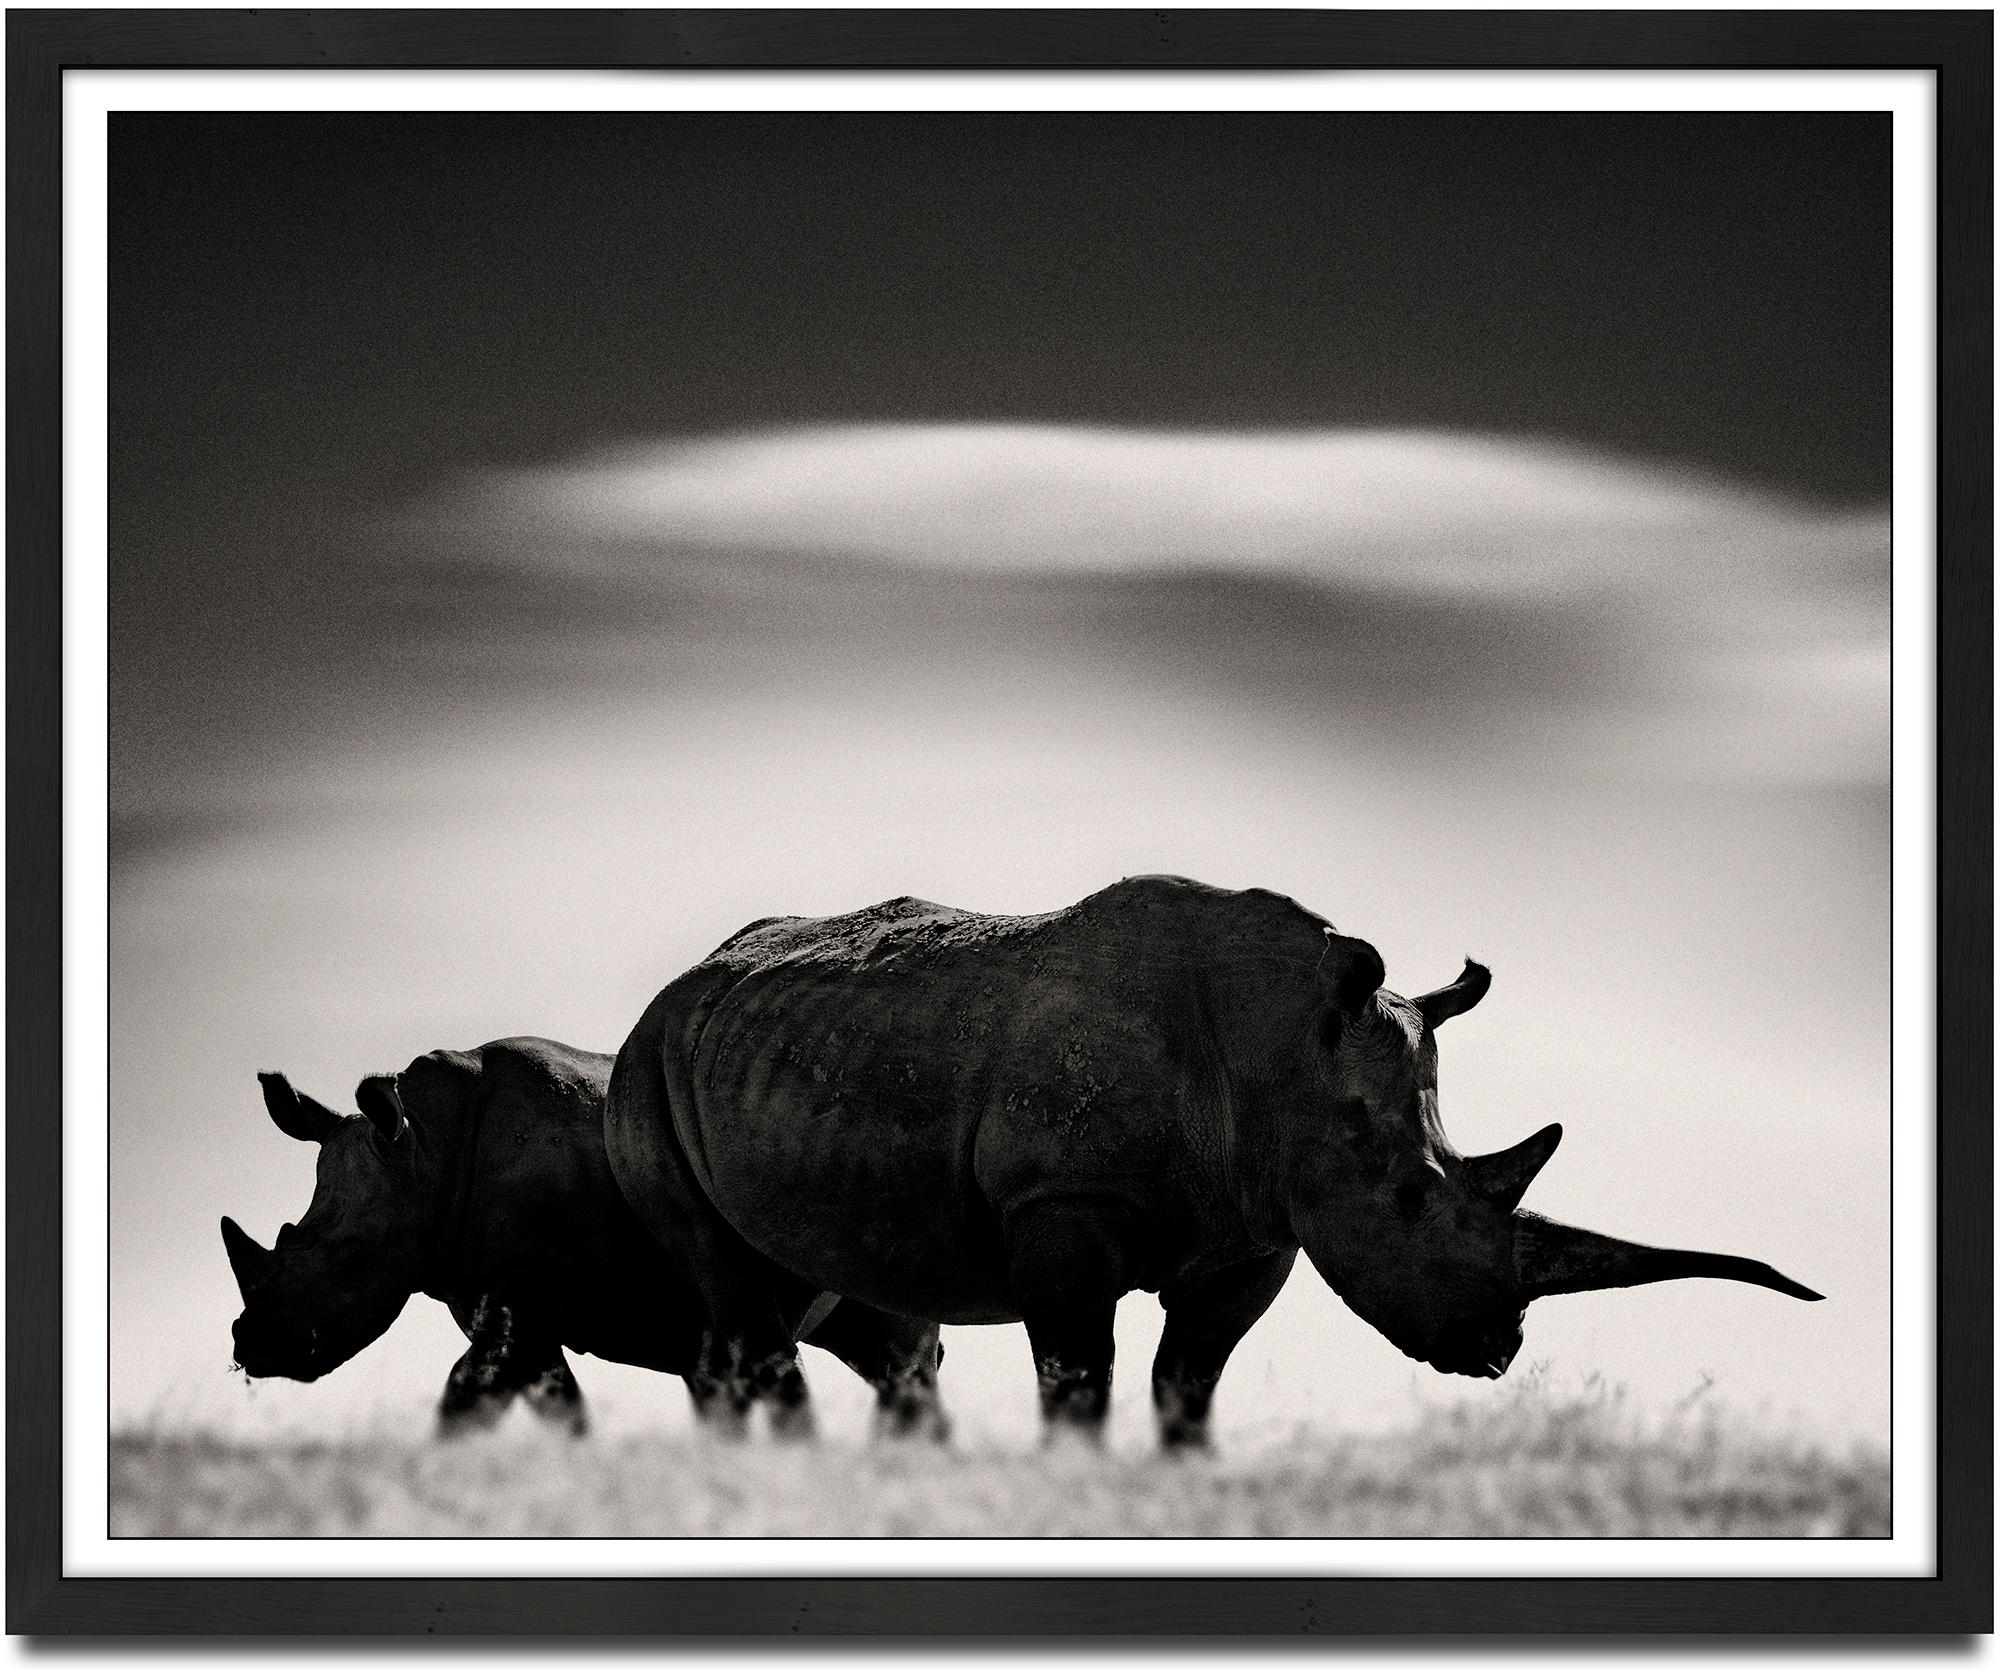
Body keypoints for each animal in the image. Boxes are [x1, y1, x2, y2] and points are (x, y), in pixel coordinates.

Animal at [222, 1036, 944, 1438]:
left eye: (352, 1263)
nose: (253, 1348)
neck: (426, 1151)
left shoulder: (523, 1303)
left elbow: (464, 1396)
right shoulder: (508, 1306)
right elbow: (554, 1404)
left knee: (894, 1356)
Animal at [604, 876, 1820, 1448]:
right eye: (1408, 1198)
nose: (1497, 1350)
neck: (1290, 1051)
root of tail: (689, 975)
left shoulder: (1256, 1227)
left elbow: (1188, 1380)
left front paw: (1186, 1480)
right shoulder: (1061, 1203)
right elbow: (1079, 1377)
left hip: (766, 1062)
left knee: (786, 1290)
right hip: (645, 1060)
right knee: (736, 1293)